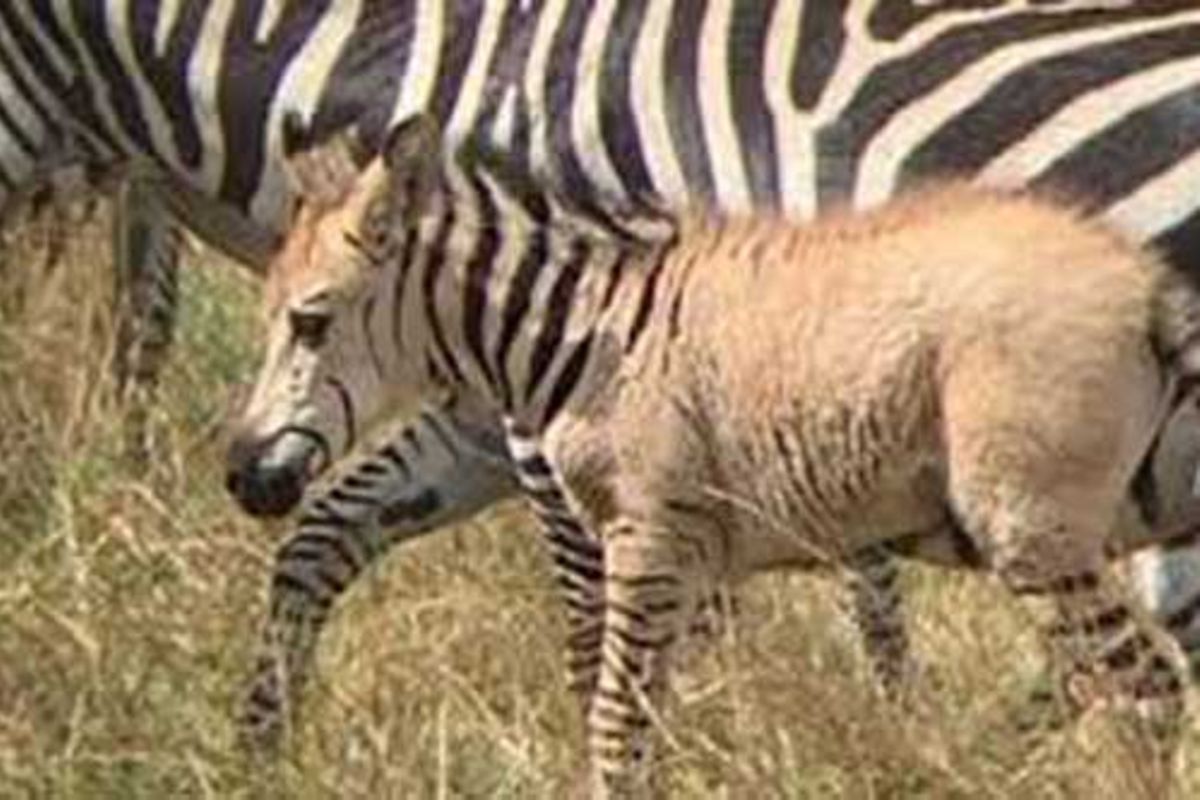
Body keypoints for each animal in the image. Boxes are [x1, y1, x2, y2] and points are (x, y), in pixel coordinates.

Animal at [9, 0, 1200, 744]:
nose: (240, 478)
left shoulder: (585, 405)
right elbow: (326, 532)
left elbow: (599, 629)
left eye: (307, 319)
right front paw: (261, 744)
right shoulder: (496, 409)